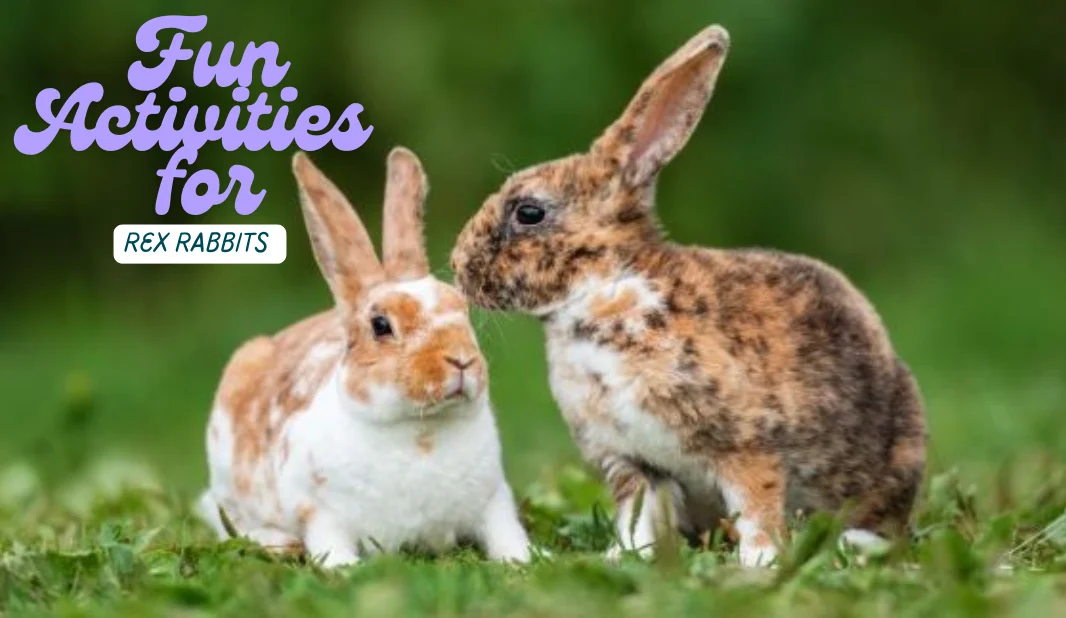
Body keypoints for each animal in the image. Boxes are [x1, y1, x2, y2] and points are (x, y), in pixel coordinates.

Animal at [197, 147, 533, 568]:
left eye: (461, 308)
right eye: (381, 325)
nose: (460, 360)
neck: (421, 432)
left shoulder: (493, 500)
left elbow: (506, 533)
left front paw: (529, 558)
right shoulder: (319, 512)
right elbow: (329, 542)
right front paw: (344, 568)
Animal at [449, 24, 927, 567]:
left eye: (528, 212)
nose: (457, 266)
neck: (605, 290)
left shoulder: (748, 451)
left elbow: (757, 513)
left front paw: (758, 566)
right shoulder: (635, 463)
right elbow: (636, 520)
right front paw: (620, 559)